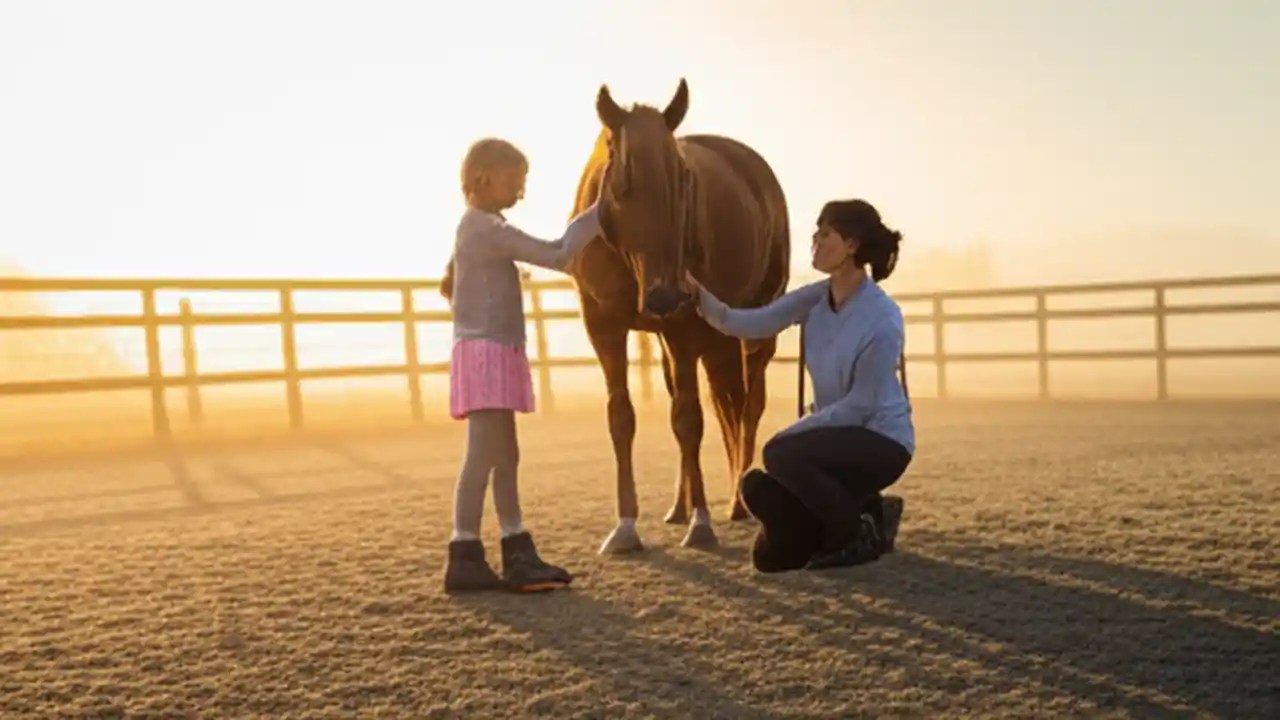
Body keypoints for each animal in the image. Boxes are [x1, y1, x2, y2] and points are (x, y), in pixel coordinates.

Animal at [567, 79, 791, 554]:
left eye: (684, 177)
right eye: (624, 182)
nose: (667, 294)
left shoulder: (685, 329)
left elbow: (689, 421)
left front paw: (702, 526)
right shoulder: (604, 329)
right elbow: (622, 418)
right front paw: (626, 527)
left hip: (752, 329)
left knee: (747, 405)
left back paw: (737, 501)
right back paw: (679, 506)